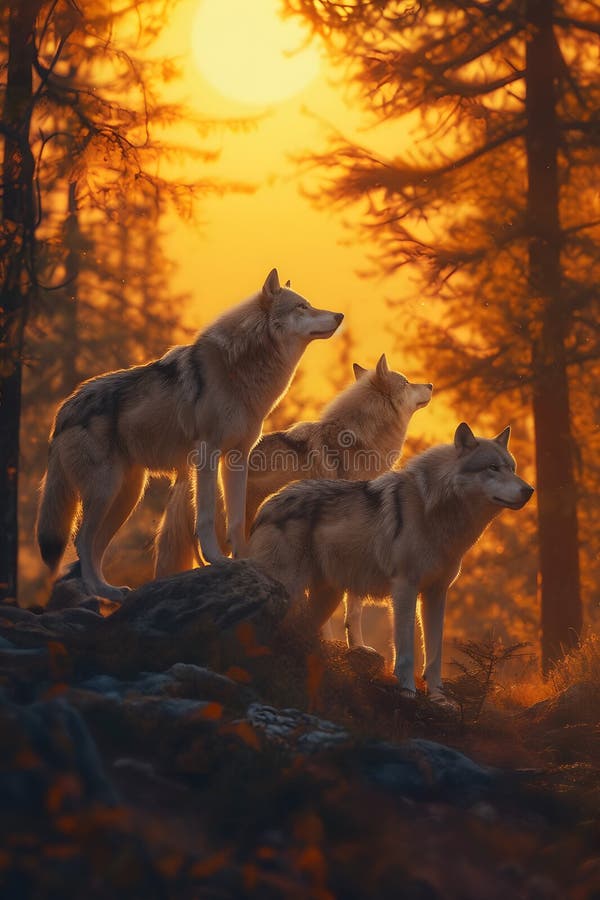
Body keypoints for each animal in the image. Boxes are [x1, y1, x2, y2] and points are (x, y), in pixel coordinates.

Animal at [36, 269, 343, 601]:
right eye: (302, 307)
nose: (339, 315)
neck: (241, 372)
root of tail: (63, 410)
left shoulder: (237, 457)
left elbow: (236, 519)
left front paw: (245, 559)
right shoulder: (207, 453)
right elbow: (207, 516)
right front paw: (216, 559)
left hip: (126, 496)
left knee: (94, 545)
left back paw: (111, 591)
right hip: (106, 490)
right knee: (81, 541)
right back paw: (96, 592)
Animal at [246, 423, 534, 701]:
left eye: (512, 468)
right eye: (493, 468)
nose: (529, 490)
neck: (434, 511)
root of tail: (267, 505)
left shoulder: (436, 593)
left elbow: (435, 653)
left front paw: (439, 698)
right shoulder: (405, 589)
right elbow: (405, 651)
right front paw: (407, 691)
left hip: (327, 598)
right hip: (291, 589)